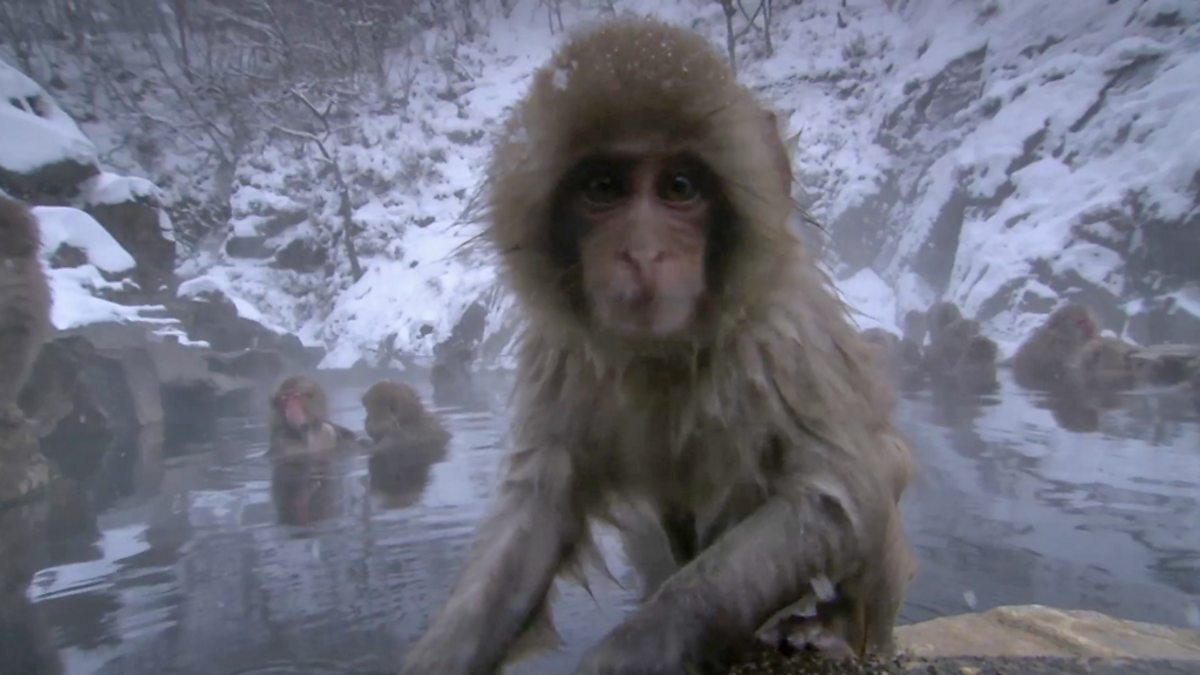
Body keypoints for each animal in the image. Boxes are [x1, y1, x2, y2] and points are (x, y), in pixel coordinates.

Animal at [399, 18, 915, 675]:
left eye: (679, 187)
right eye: (603, 188)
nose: (643, 253)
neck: (663, 353)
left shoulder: (782, 339)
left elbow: (837, 494)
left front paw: (634, 648)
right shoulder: (562, 354)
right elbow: (539, 506)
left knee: (884, 462)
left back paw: (831, 632)